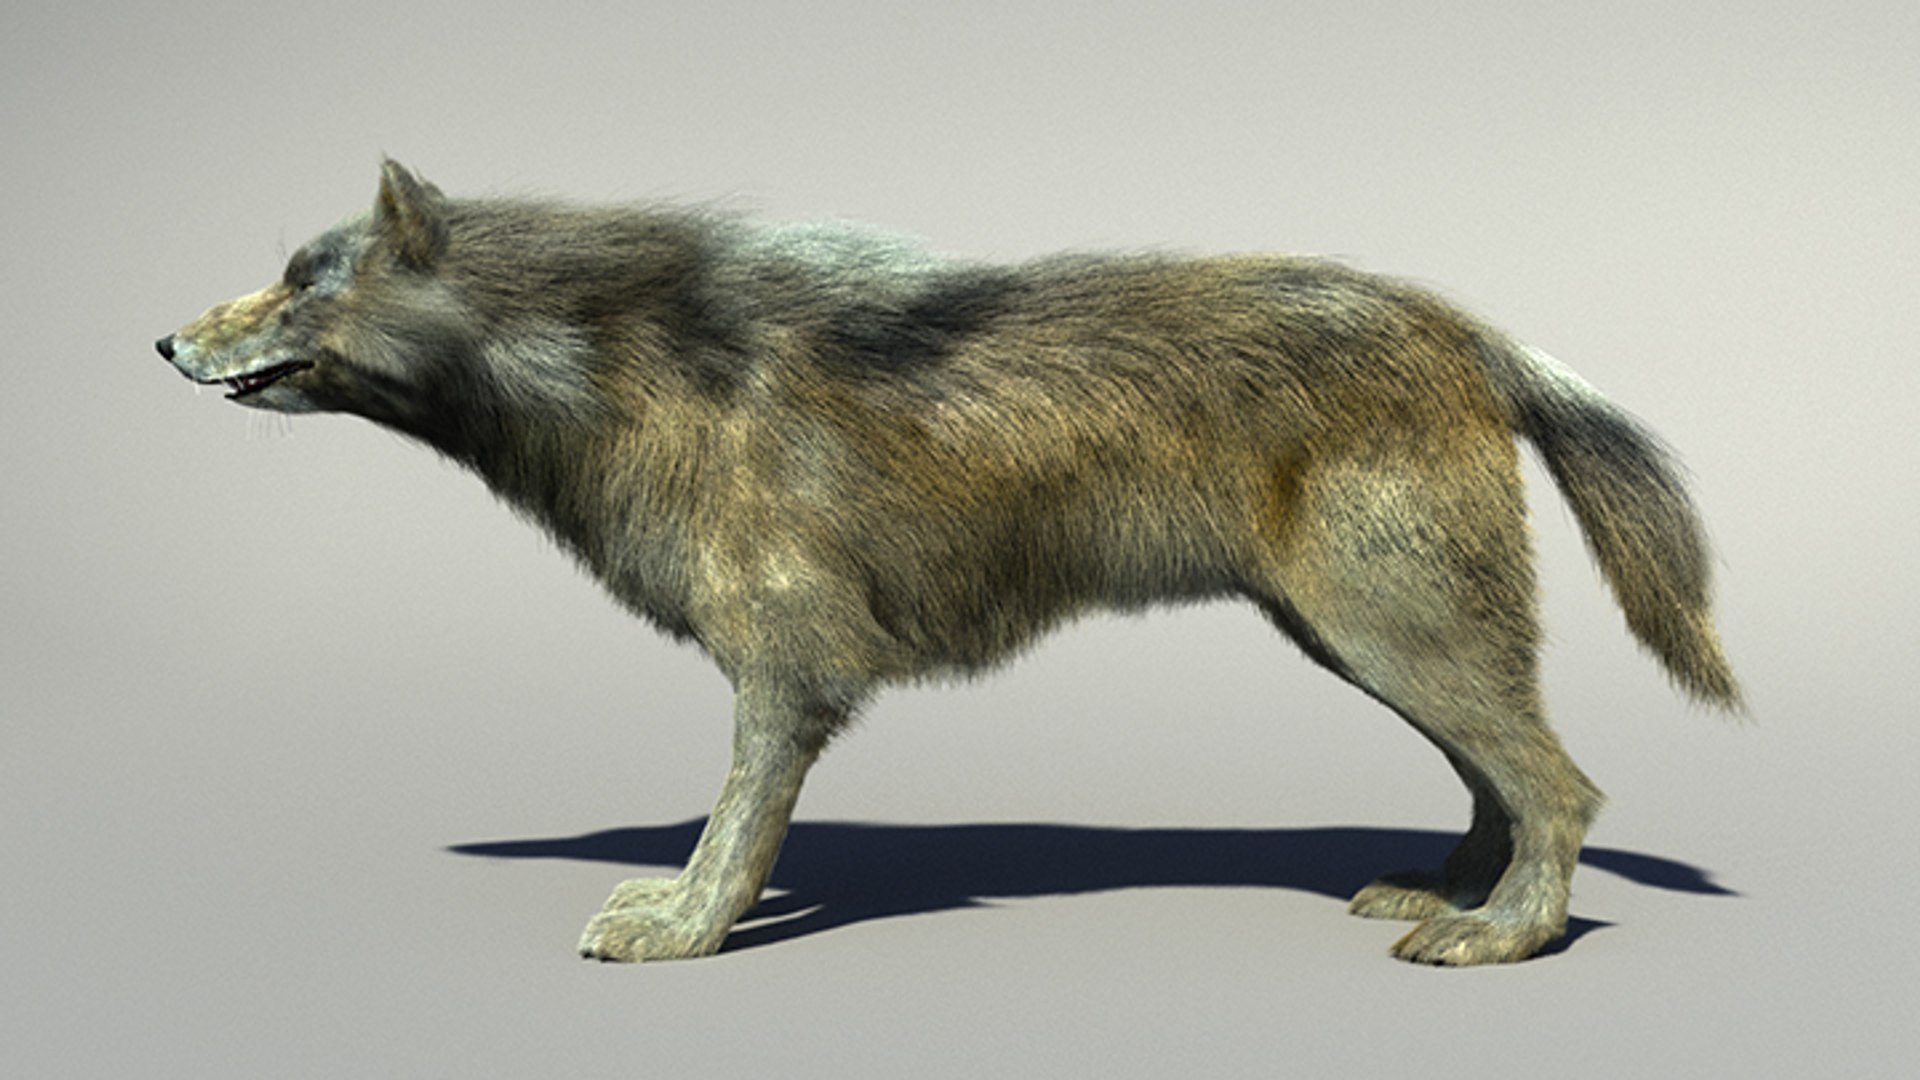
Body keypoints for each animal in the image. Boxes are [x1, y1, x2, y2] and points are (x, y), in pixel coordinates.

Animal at [158, 160, 1740, 966]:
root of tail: (1469, 329)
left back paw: (1504, 935)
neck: (632, 365)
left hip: (1390, 624)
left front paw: (681, 926)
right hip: (1363, 633)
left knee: (1560, 784)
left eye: (301, 281)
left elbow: (733, 831)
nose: (164, 340)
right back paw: (1446, 895)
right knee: (1498, 774)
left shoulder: (787, 674)